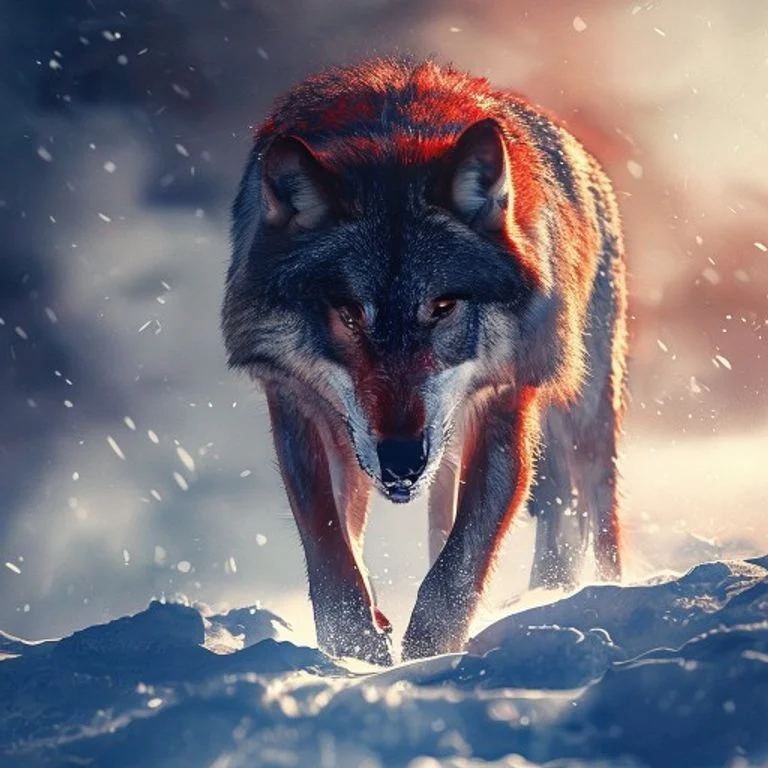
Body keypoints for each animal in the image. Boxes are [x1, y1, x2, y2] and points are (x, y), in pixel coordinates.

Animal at [222, 59, 628, 665]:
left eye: (441, 307)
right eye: (349, 313)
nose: (401, 460)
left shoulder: (505, 404)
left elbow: (457, 568)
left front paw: (425, 659)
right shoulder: (296, 405)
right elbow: (330, 546)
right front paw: (358, 649)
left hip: (584, 407)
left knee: (596, 505)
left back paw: (599, 592)